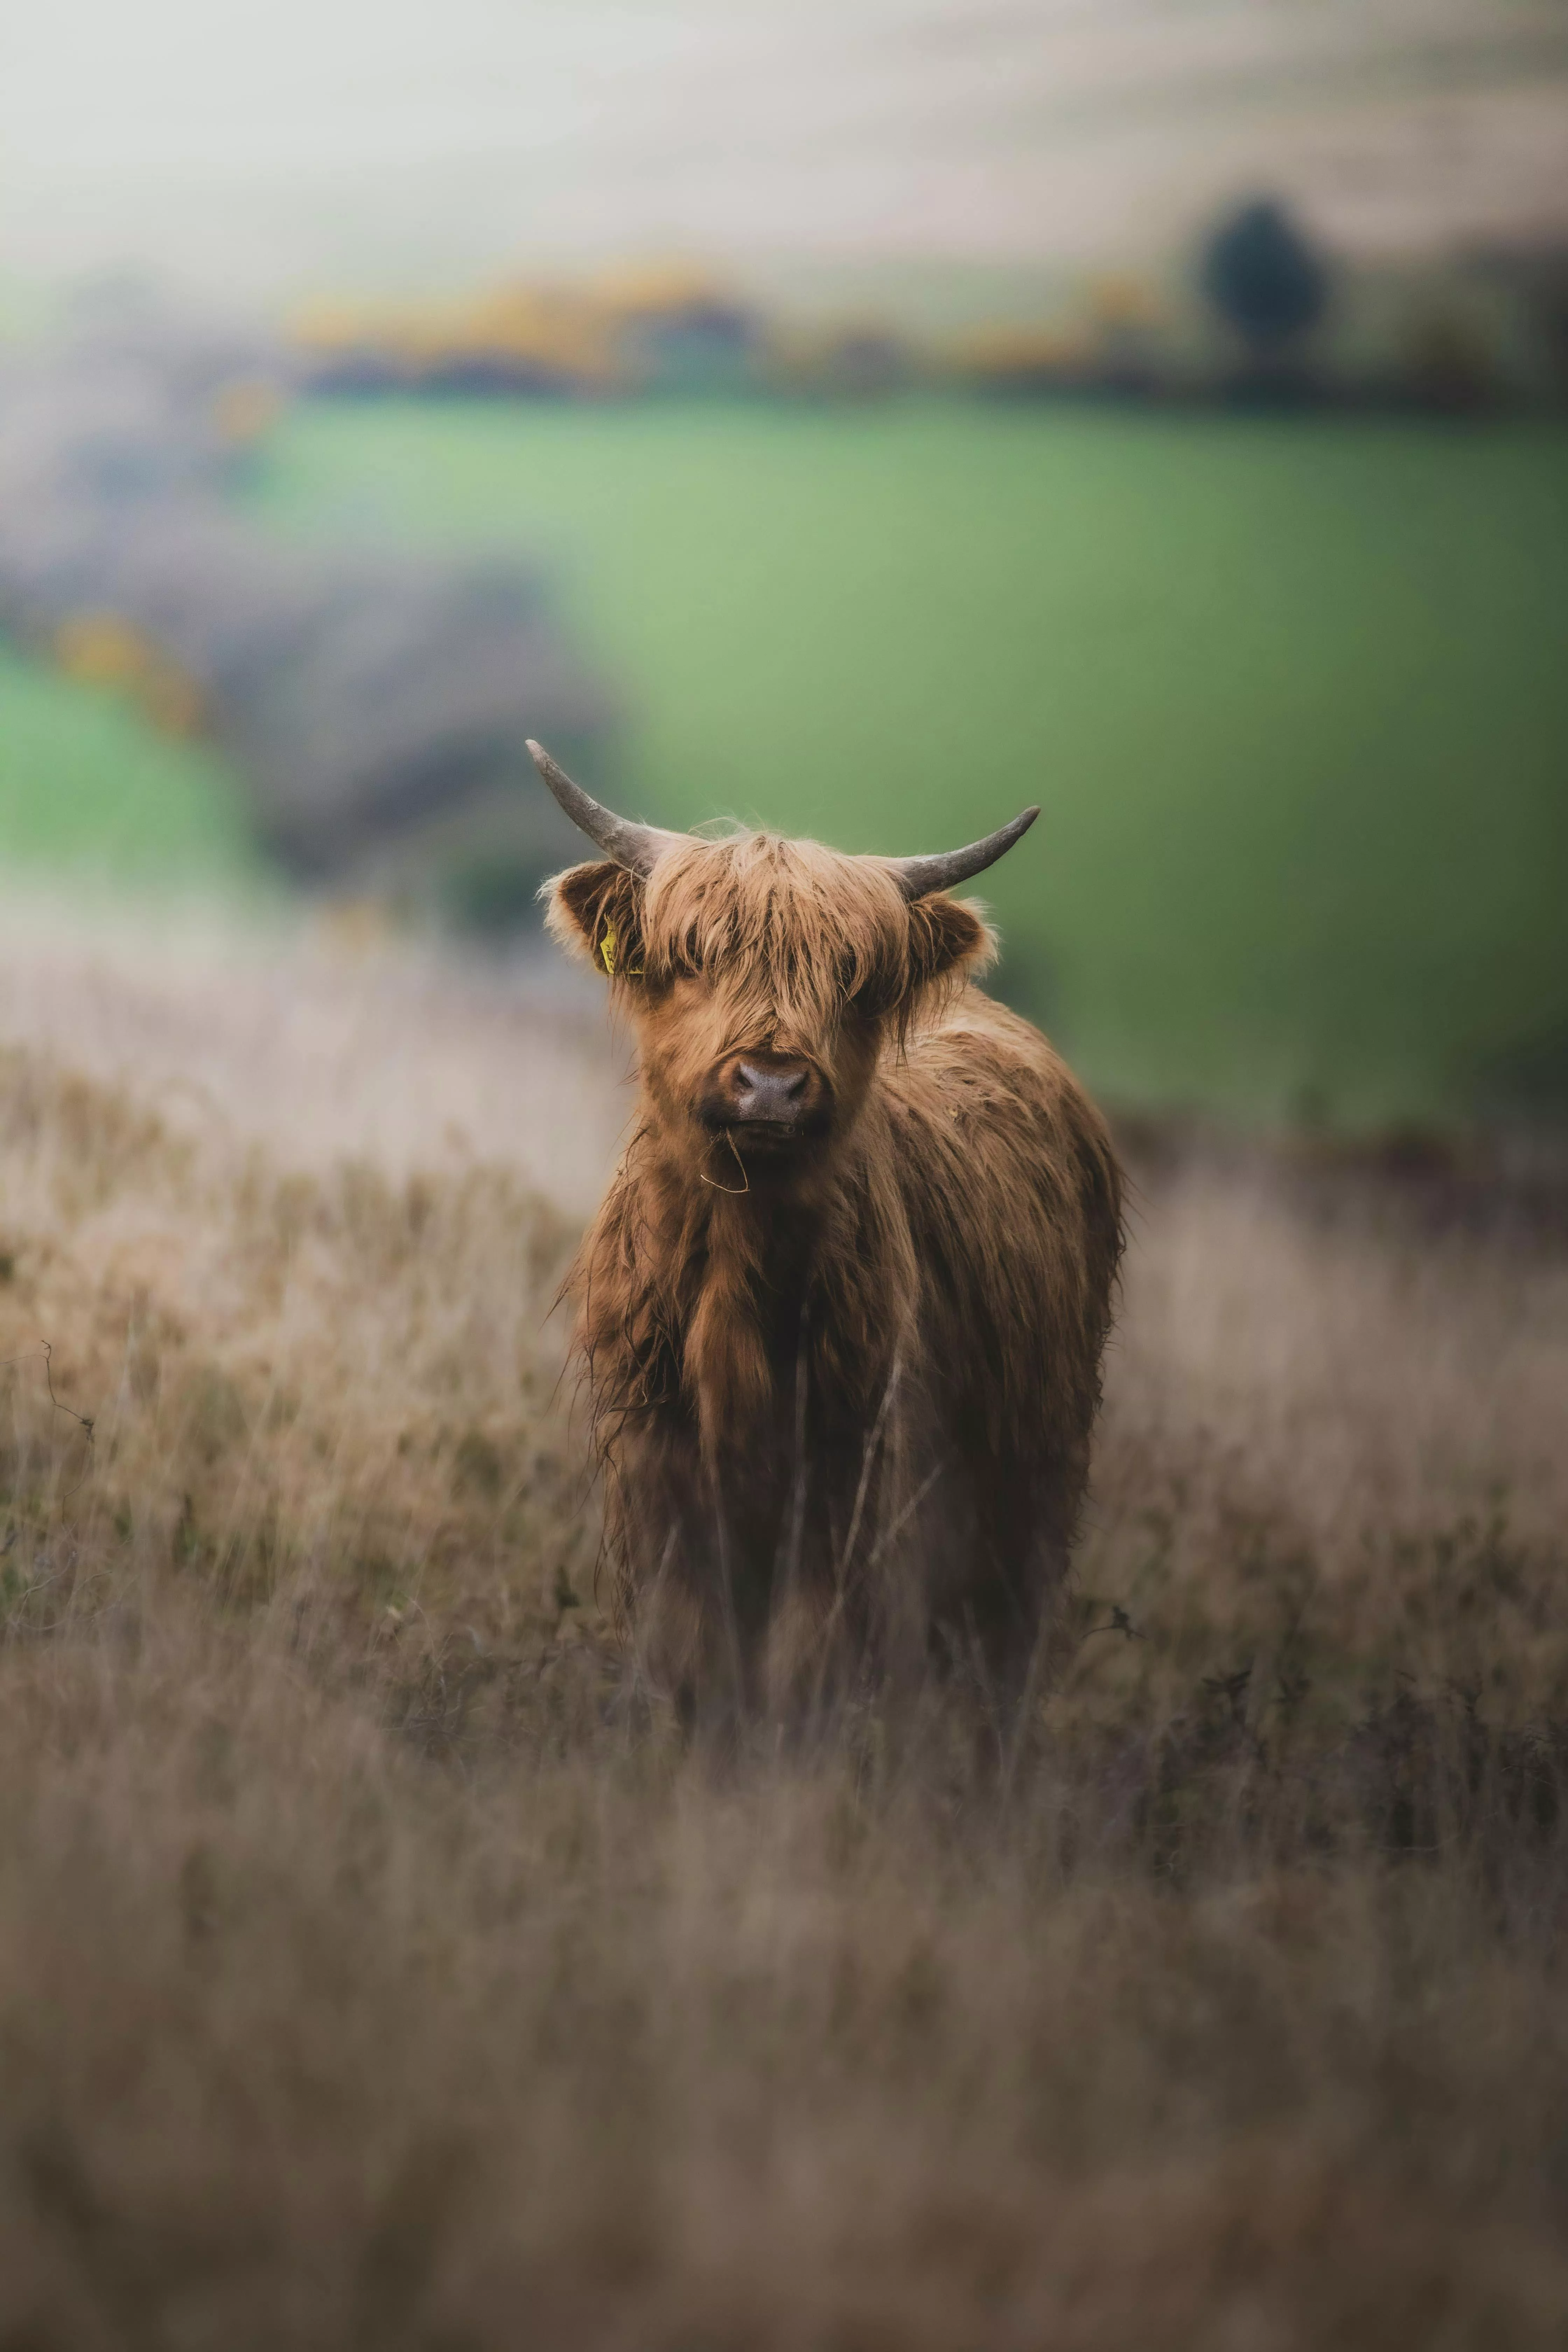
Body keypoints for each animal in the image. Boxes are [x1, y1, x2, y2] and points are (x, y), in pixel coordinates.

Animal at [530, 741, 1123, 1719]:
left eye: (854, 979)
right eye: (693, 957)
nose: (771, 1084)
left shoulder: (852, 1488)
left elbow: (803, 1675)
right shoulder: (660, 1478)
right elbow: (697, 1666)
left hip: (1033, 1484)